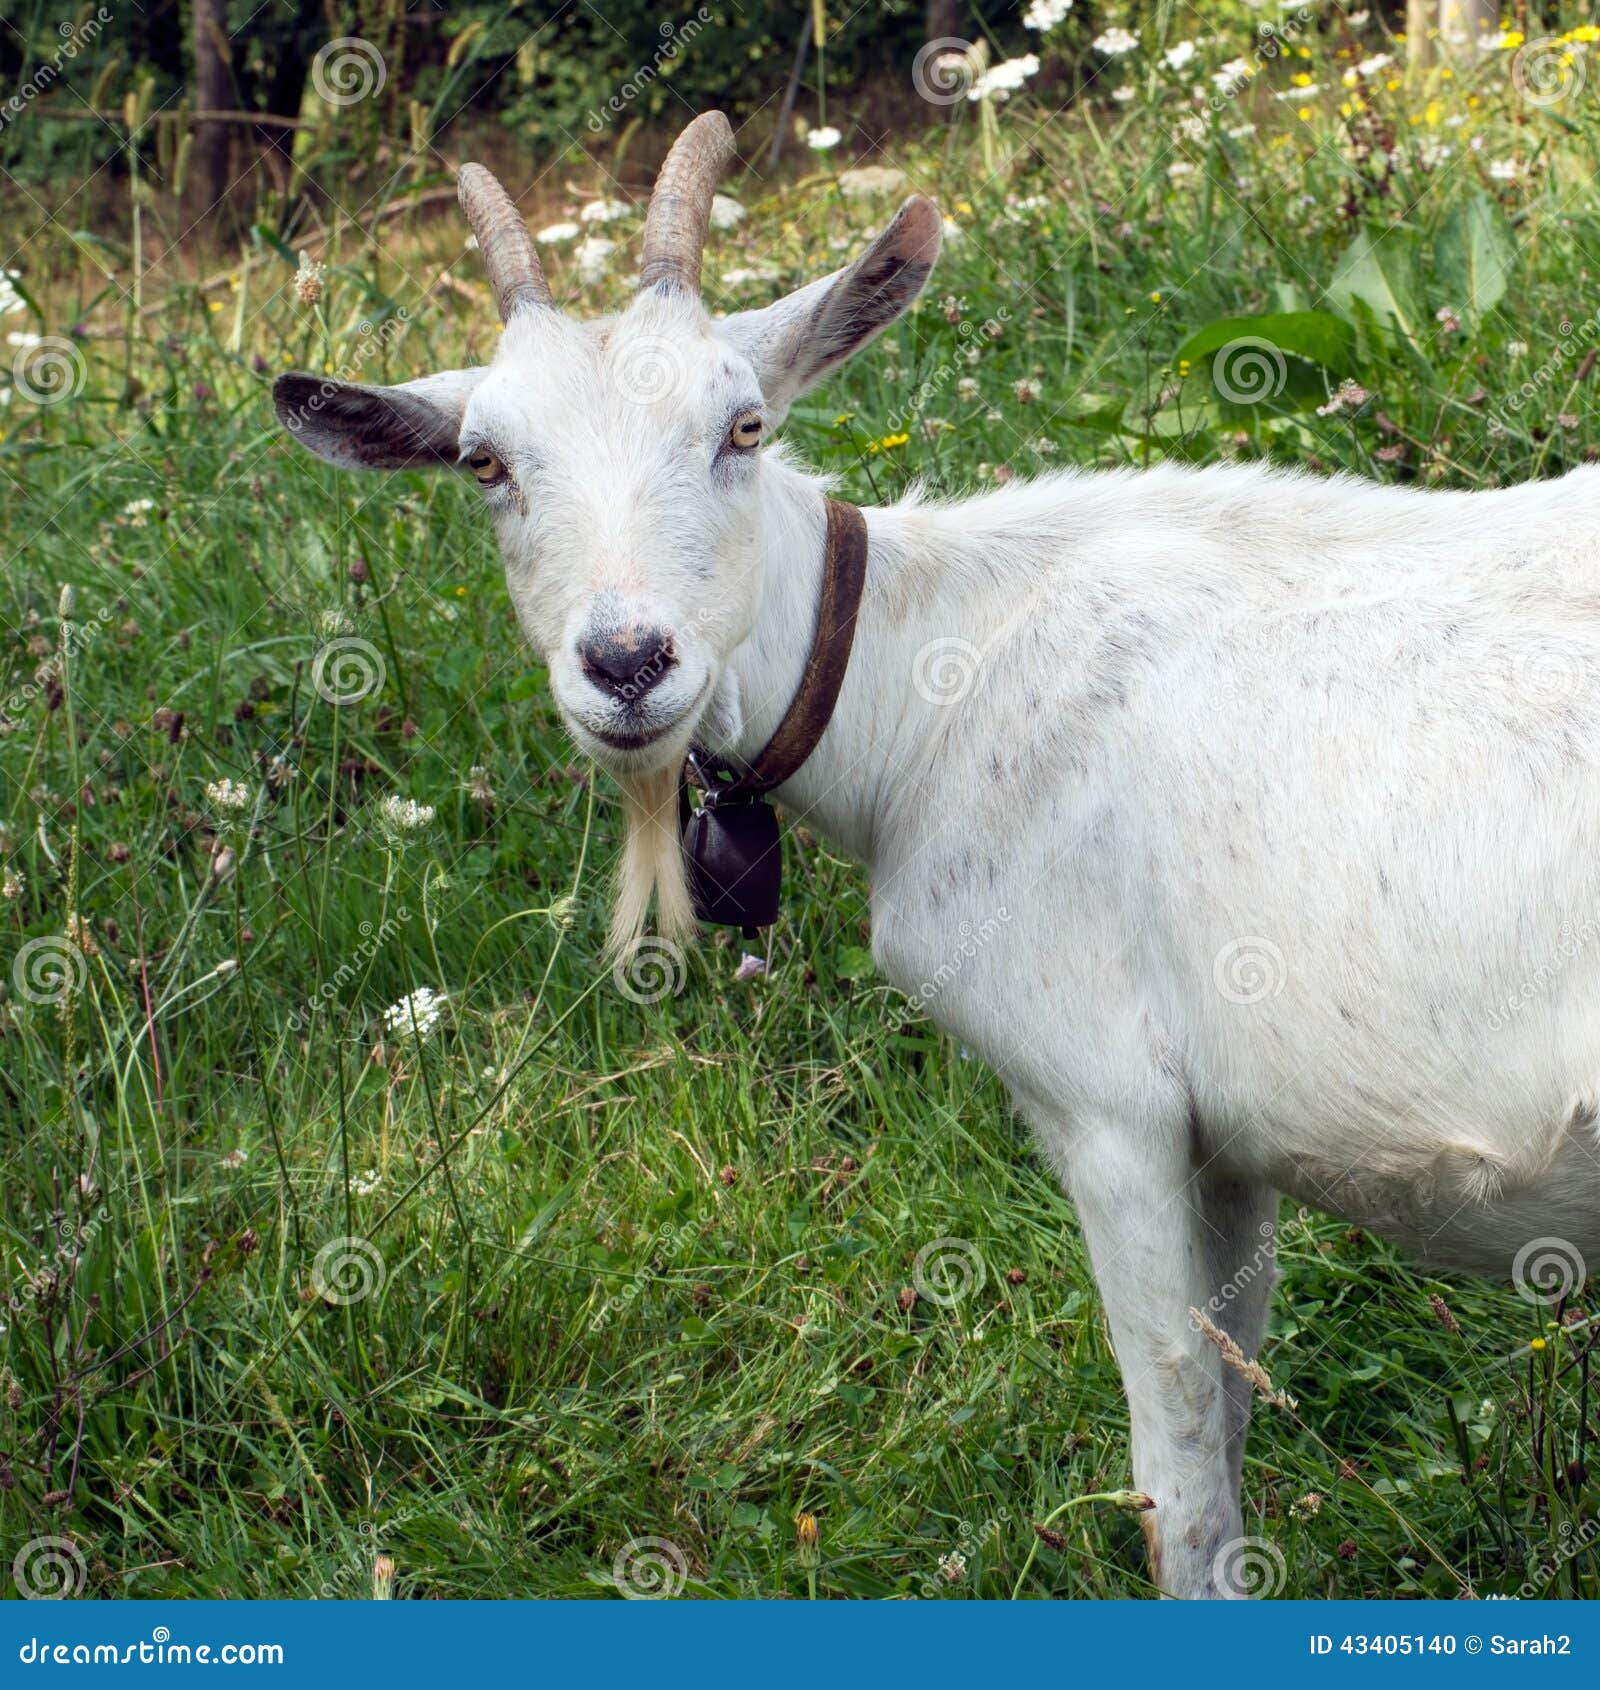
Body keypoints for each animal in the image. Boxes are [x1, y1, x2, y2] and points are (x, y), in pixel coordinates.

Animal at [275, 112, 1600, 1599]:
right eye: (486, 463)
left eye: (743, 425)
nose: (625, 661)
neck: (930, 681)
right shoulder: (1229, 1143)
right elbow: (1233, 1397)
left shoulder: (1109, 1107)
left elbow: (1180, 1476)